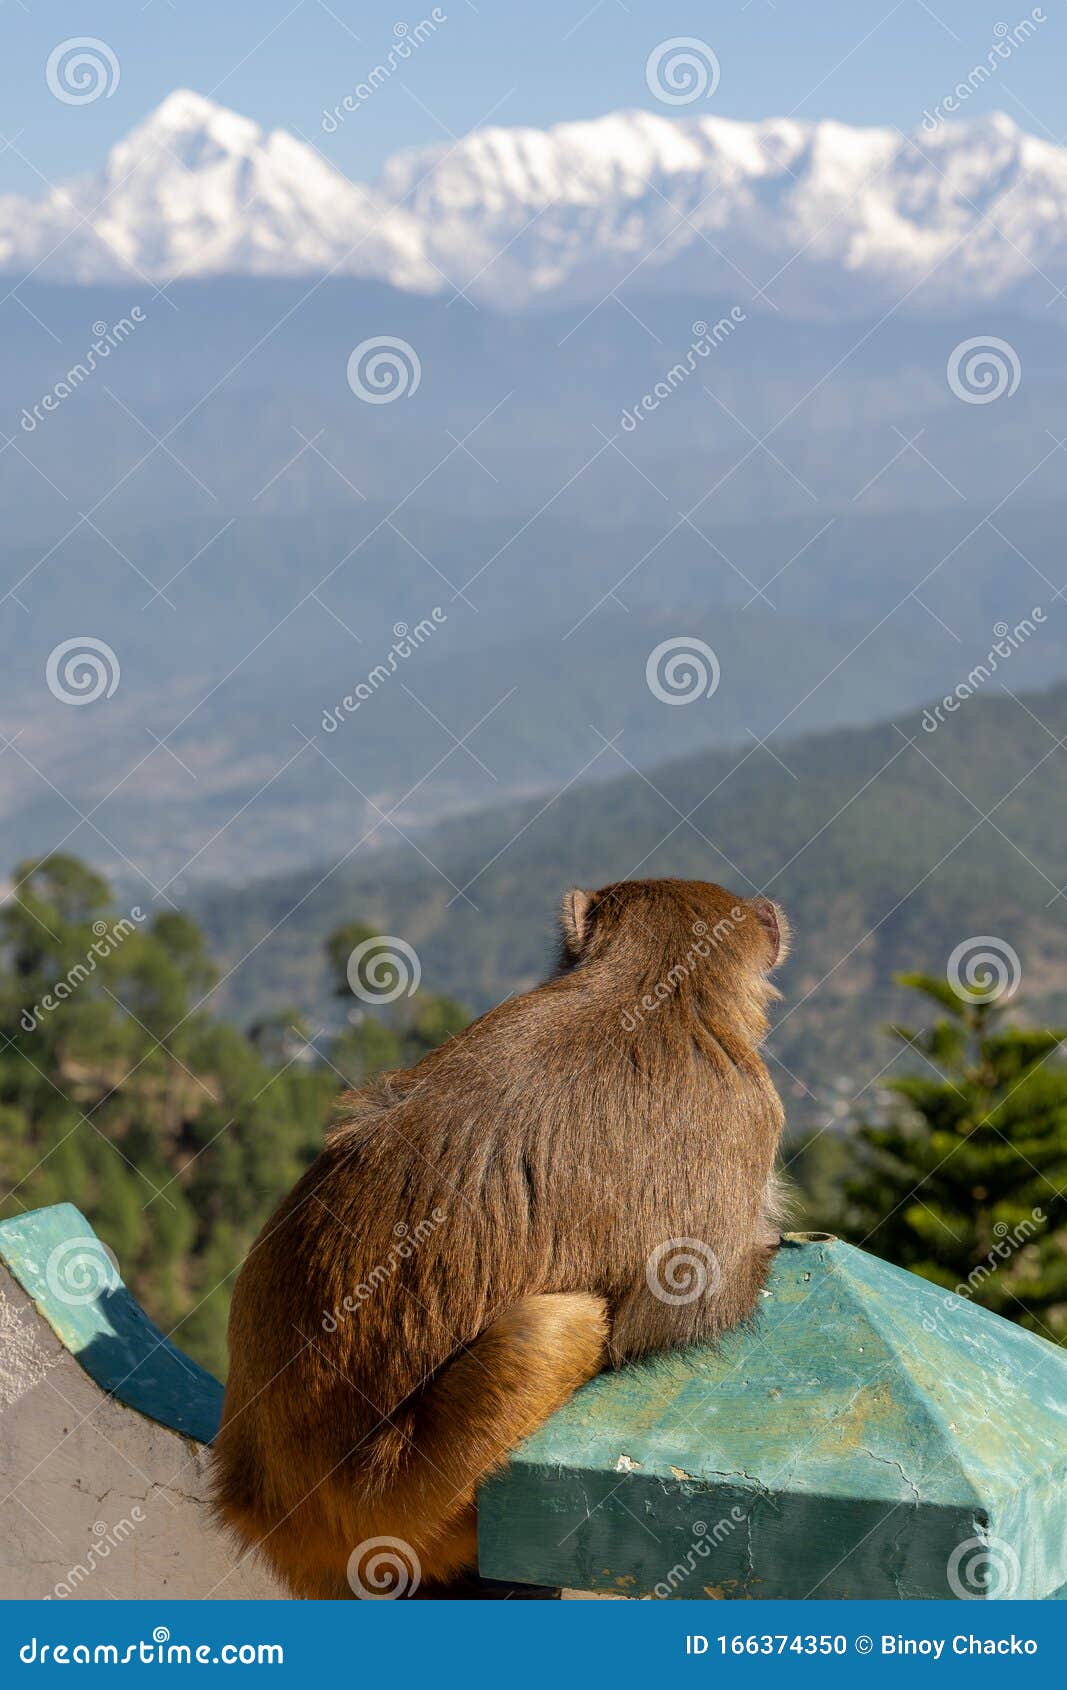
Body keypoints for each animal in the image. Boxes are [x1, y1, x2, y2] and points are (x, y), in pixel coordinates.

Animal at [212, 877, 789, 1599]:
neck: (653, 985)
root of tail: (270, 1510)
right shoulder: (748, 1109)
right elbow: (686, 1310)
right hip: (400, 1500)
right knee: (553, 1327)